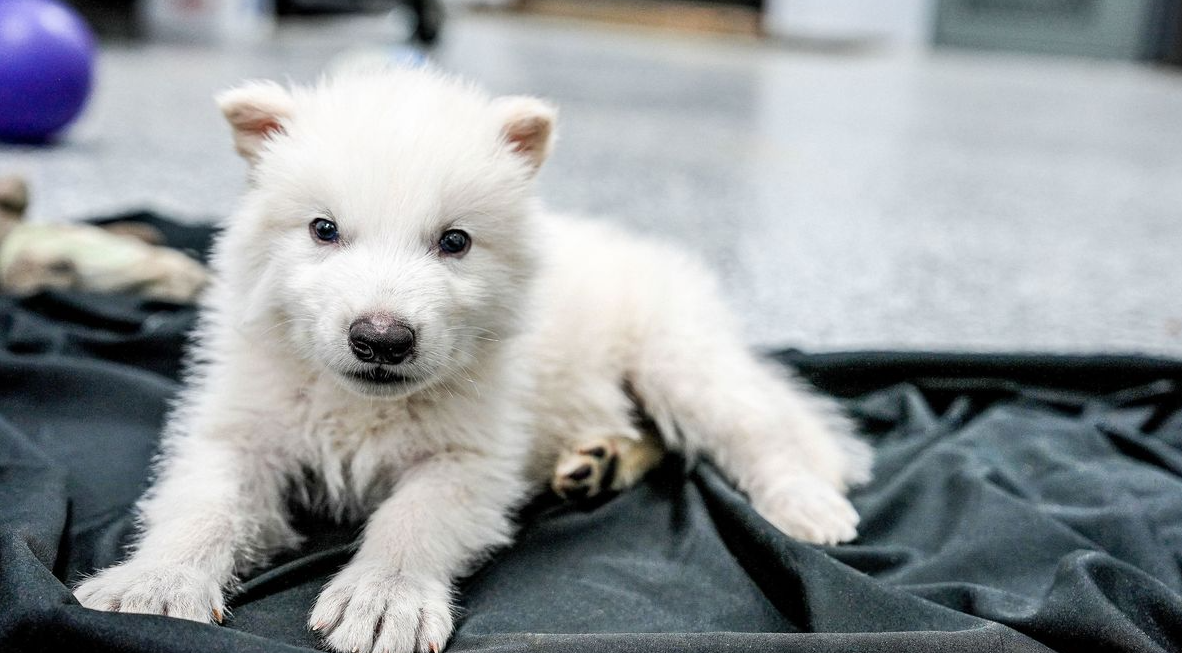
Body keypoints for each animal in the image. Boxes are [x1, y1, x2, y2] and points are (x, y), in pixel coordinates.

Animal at [73, 67, 871, 653]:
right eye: (323, 229)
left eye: (454, 241)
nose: (382, 338)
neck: (360, 404)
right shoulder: (244, 423)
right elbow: (206, 500)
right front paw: (156, 586)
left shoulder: (474, 453)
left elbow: (415, 517)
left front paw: (383, 599)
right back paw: (599, 459)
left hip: (678, 354)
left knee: (757, 425)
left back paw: (806, 502)